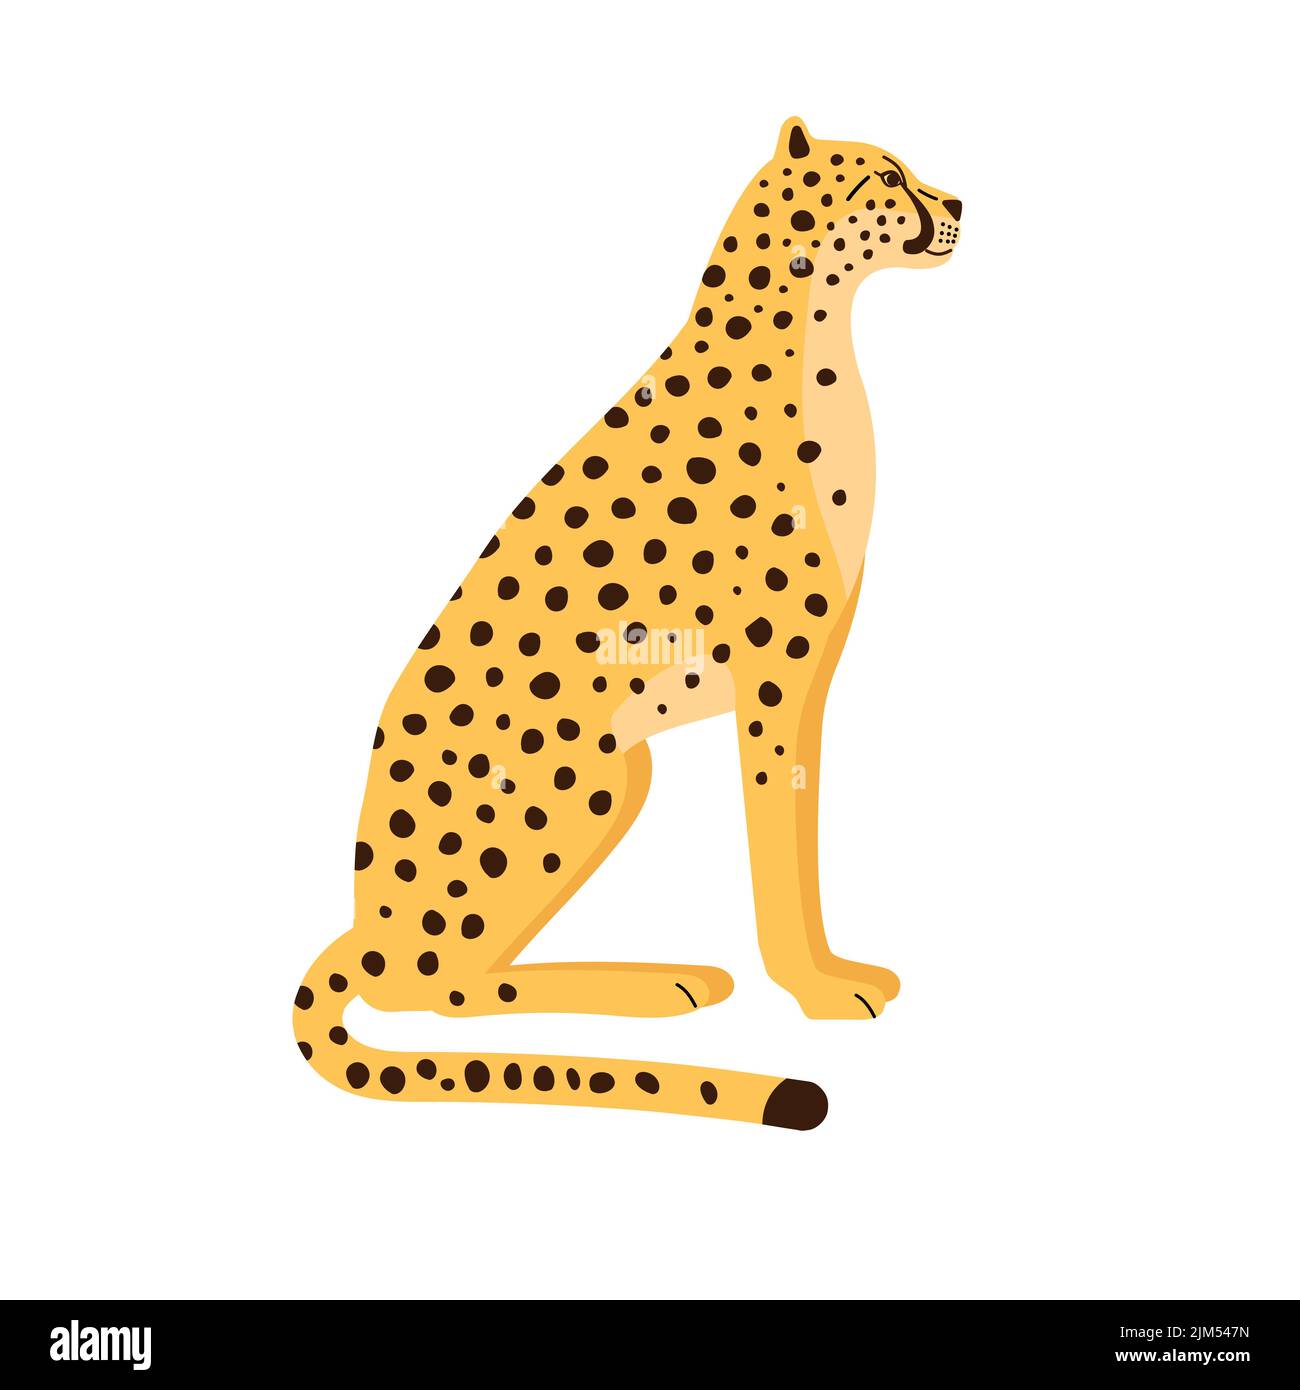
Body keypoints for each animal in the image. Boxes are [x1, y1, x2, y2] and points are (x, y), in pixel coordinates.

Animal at [293, 117, 962, 1129]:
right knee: (429, 986)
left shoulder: (806, 692)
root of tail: (360, 922)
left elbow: (801, 838)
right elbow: (779, 853)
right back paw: (648, 984)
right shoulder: (771, 689)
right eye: (886, 178)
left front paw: (829, 970)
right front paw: (813, 989)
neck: (809, 334)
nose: (958, 203)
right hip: (591, 774)